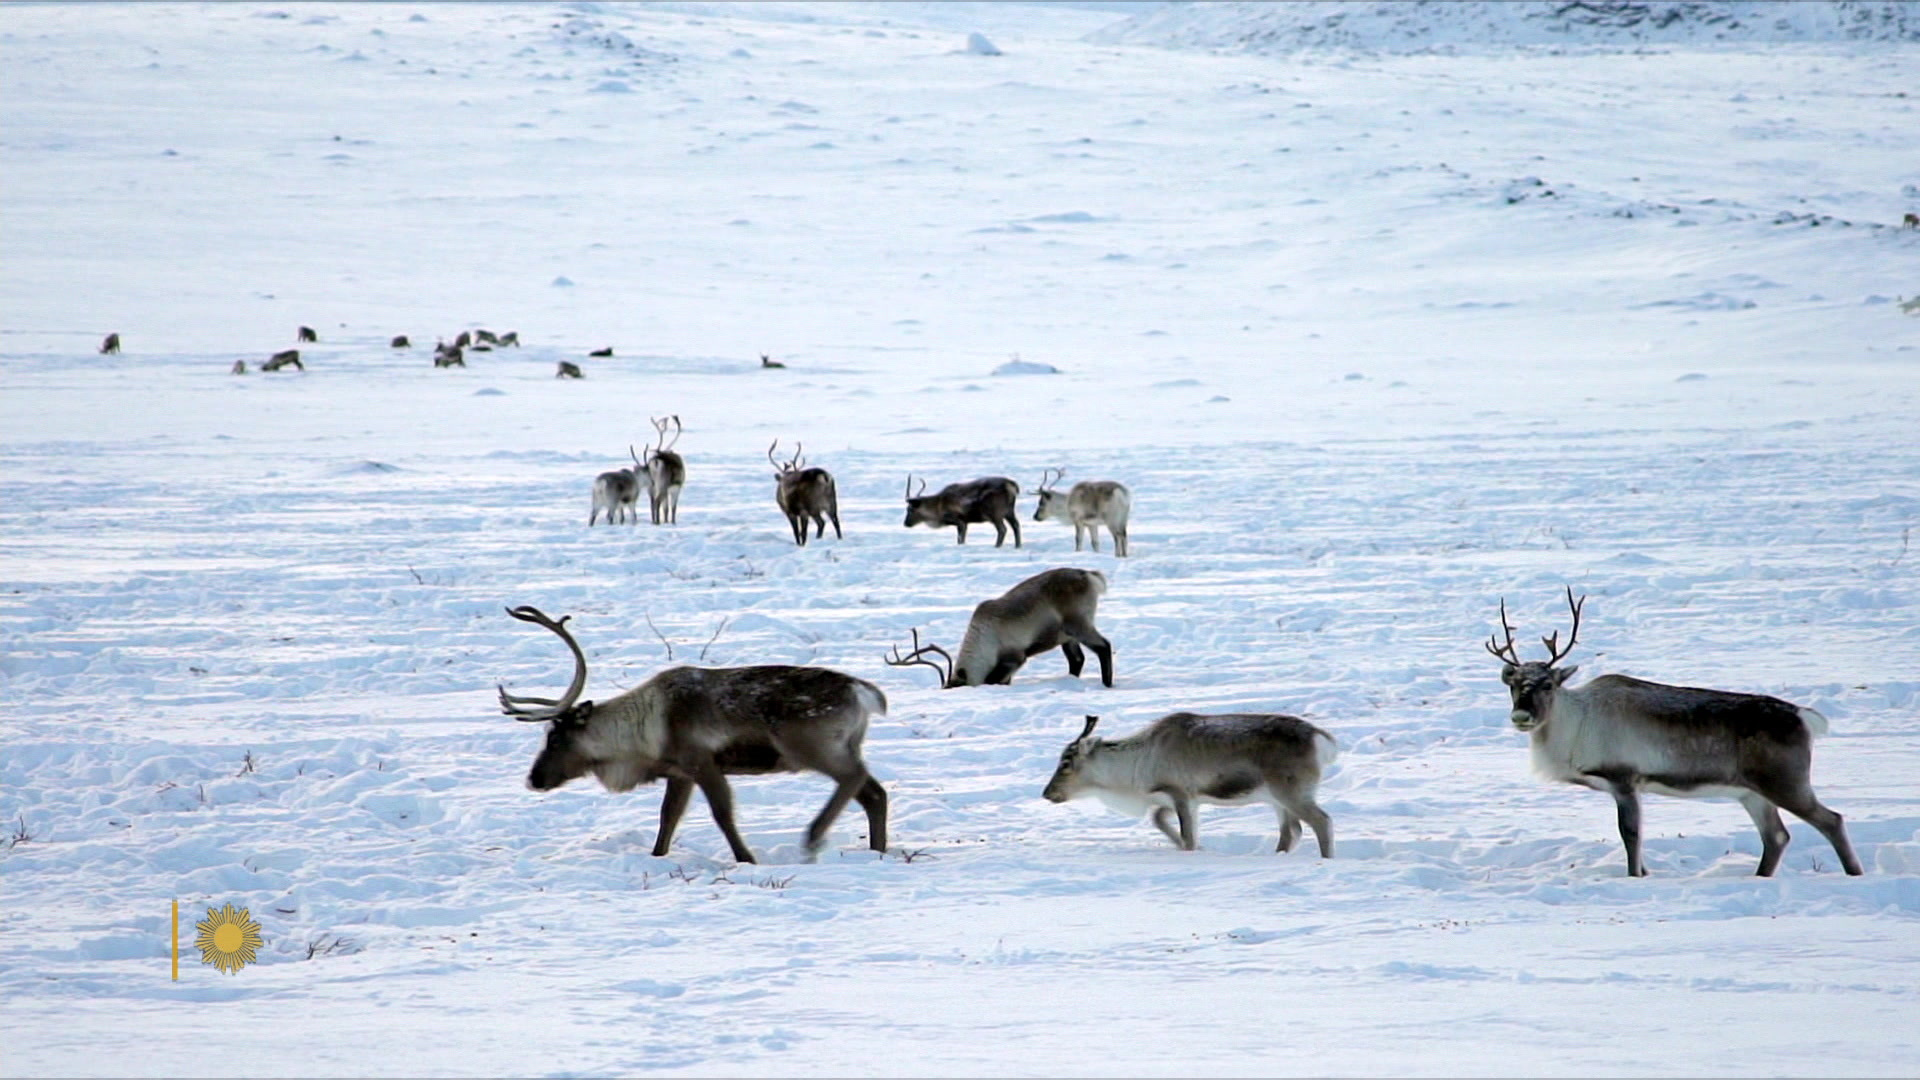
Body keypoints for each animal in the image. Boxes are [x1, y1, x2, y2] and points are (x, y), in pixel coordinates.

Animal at [497, 605, 888, 864]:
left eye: (555, 738)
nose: (534, 779)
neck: (641, 737)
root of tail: (863, 692)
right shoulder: (680, 772)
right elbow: (667, 818)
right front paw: (657, 857)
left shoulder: (701, 761)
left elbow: (722, 814)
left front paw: (746, 859)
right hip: (845, 746)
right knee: (874, 792)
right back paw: (876, 849)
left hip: (812, 748)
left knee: (856, 779)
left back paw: (813, 838)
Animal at [887, 567, 1113, 688]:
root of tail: (1088, 575)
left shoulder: (1015, 658)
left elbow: (993, 679)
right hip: (1066, 636)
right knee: (1077, 659)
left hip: (1078, 624)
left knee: (1103, 646)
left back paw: (1107, 684)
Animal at [1043, 713, 1337, 855]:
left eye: (1066, 762)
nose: (1047, 793)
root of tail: (1323, 740)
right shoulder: (1177, 798)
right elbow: (1160, 819)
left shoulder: (1181, 794)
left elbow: (1187, 836)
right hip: (1277, 800)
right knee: (1292, 832)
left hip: (1291, 792)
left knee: (1321, 821)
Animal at [1488, 588, 1863, 878]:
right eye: (1513, 685)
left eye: (1547, 684)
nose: (1521, 715)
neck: (1574, 728)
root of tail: (1804, 717)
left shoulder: (1624, 778)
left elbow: (1631, 834)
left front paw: (1635, 876)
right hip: (1751, 792)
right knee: (1777, 837)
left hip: (1785, 780)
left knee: (1831, 820)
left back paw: (1854, 874)